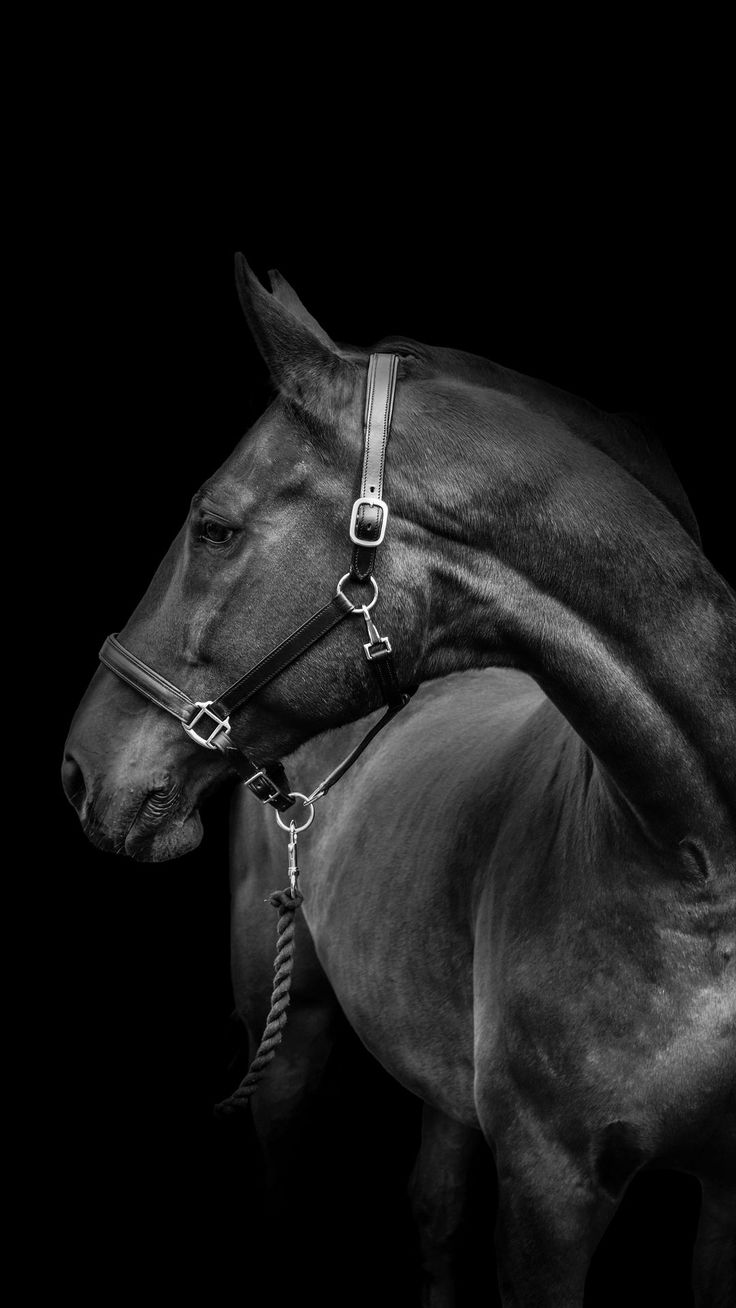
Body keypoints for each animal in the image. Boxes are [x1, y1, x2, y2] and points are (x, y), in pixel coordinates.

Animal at [63, 257, 736, 1306]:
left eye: (213, 528)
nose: (81, 769)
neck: (695, 866)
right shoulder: (548, 1192)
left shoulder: (719, 1194)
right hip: (289, 1039)